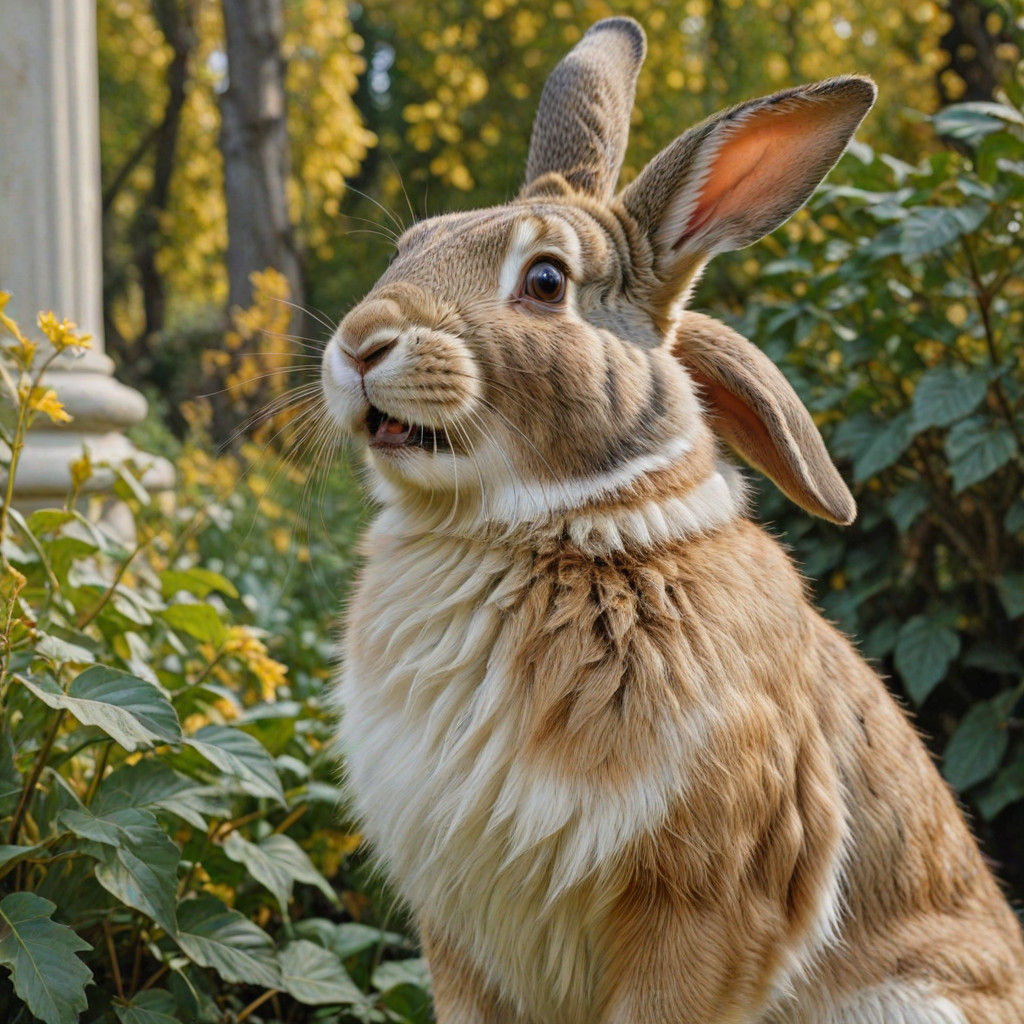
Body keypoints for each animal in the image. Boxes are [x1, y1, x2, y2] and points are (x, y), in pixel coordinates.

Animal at [320, 16, 1024, 1024]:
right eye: (410, 245)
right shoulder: (462, 937)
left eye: (545, 280)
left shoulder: (703, 906)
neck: (549, 529)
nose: (358, 344)